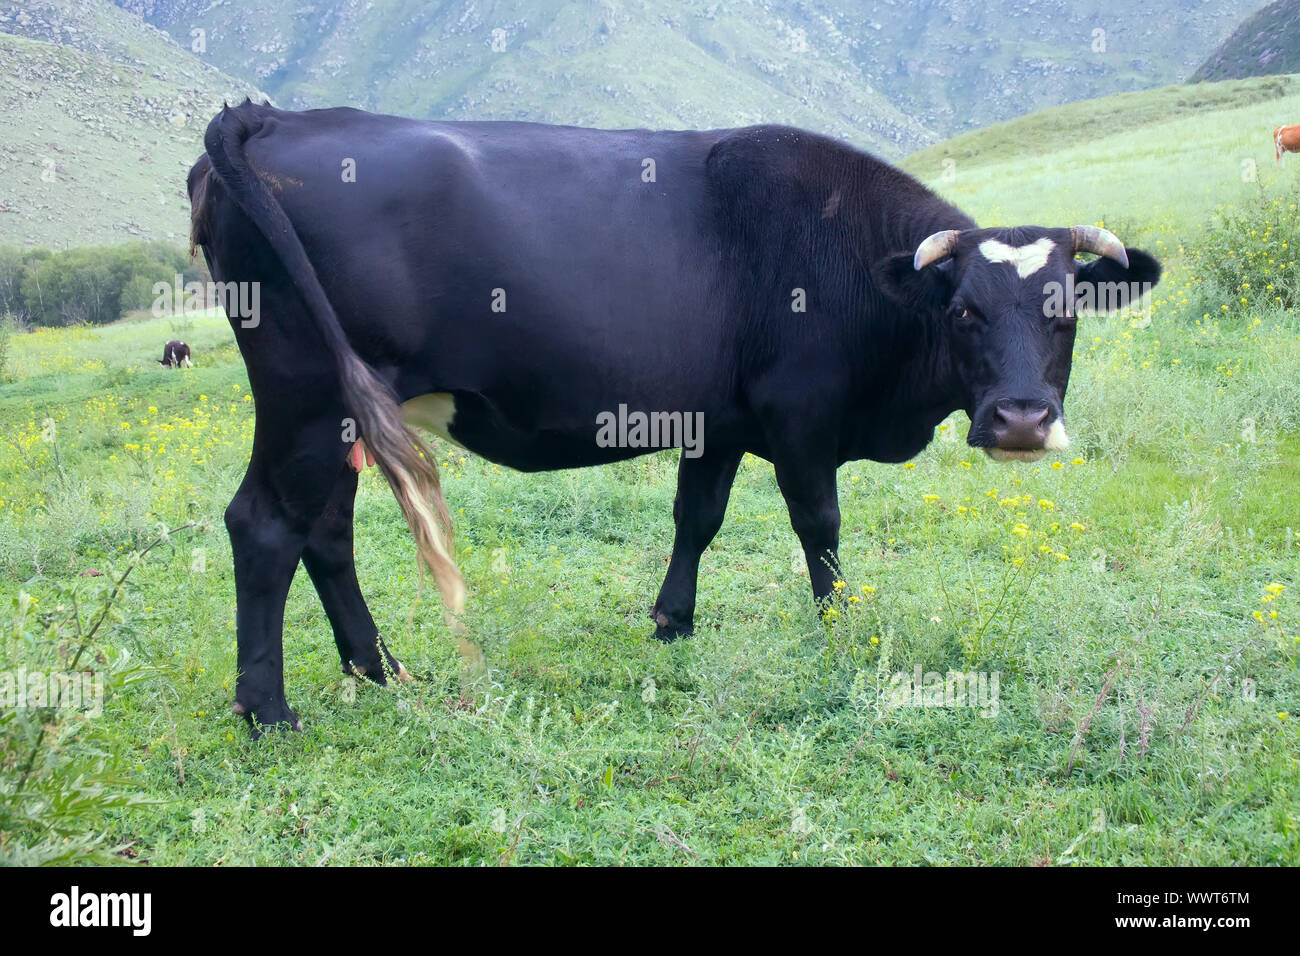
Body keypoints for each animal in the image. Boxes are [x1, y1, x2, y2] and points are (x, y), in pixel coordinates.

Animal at [188, 100, 1161, 736]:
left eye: (1066, 314)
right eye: (963, 313)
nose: (1022, 420)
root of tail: (271, 118)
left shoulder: (717, 423)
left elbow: (698, 516)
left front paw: (672, 622)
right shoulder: (800, 419)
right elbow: (820, 526)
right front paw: (839, 631)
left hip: (340, 415)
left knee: (326, 533)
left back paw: (380, 669)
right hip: (307, 394)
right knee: (265, 525)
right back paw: (268, 711)